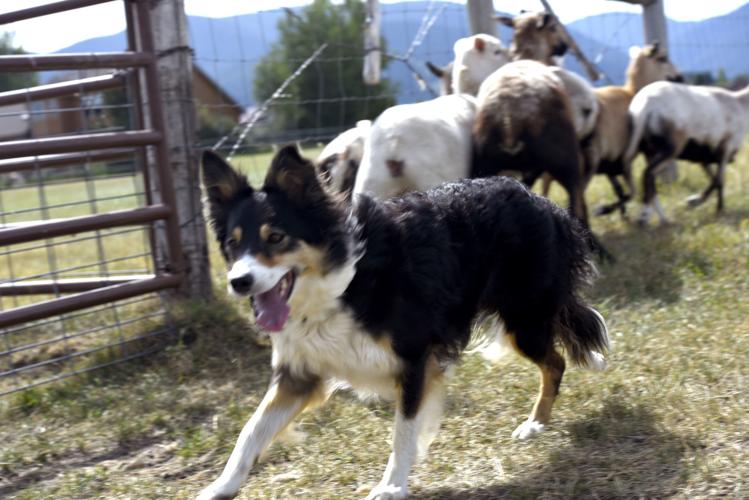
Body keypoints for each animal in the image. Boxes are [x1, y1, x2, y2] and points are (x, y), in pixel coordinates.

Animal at [626, 81, 749, 225]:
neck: (741, 104)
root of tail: (644, 105)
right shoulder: (725, 149)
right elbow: (719, 181)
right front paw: (710, 207)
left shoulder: (705, 157)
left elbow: (714, 180)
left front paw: (696, 202)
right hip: (672, 147)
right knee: (648, 174)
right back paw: (644, 217)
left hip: (649, 149)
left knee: (650, 178)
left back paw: (661, 217)